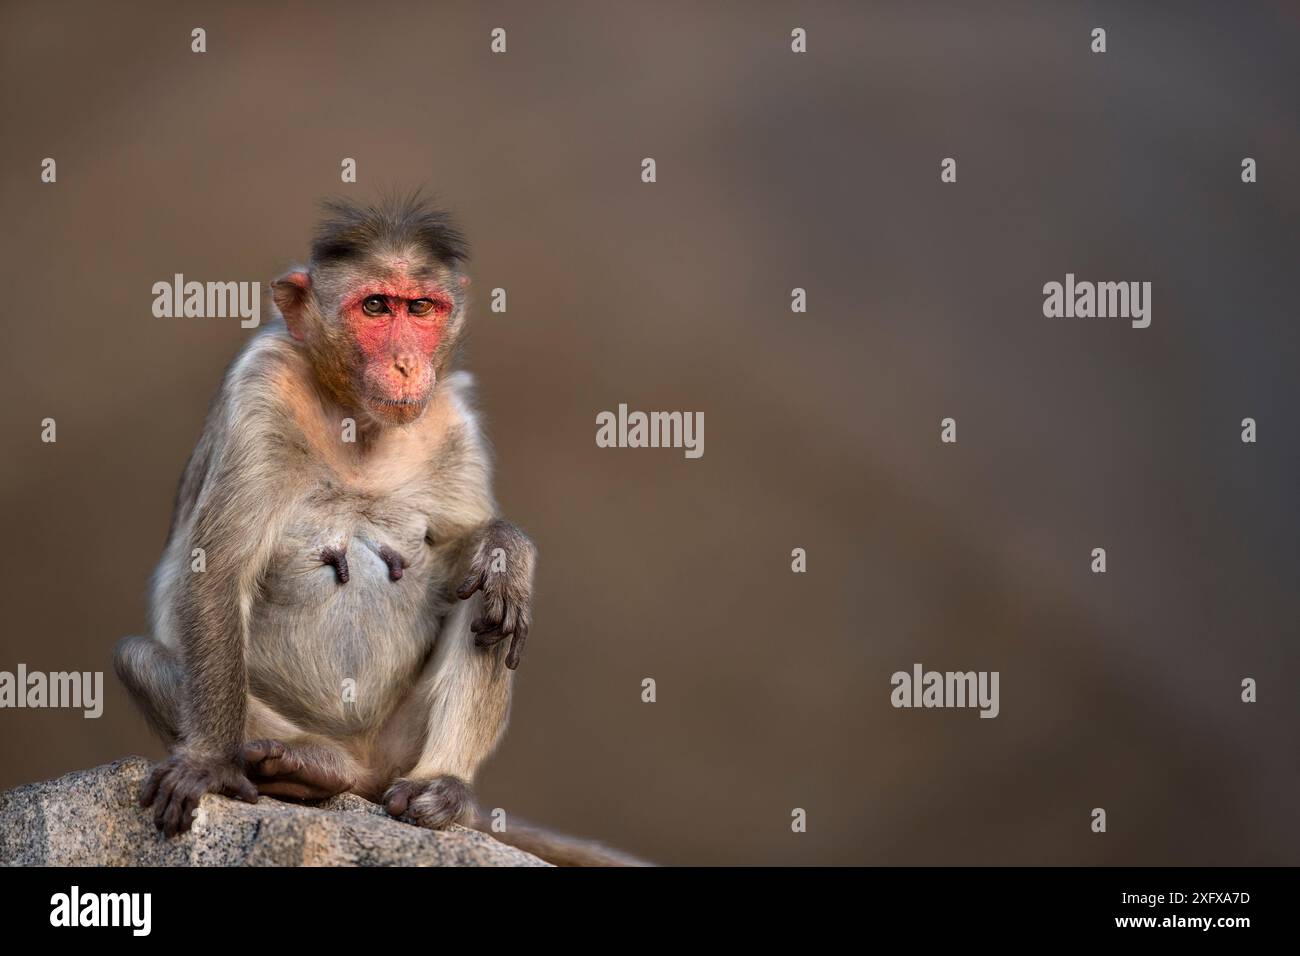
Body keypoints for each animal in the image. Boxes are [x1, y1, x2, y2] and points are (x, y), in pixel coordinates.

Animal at [113, 195, 639, 865]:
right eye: (375, 307)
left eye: (420, 309)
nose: (407, 364)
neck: (358, 423)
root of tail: (369, 772)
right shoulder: (262, 387)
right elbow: (216, 574)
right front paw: (206, 762)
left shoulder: (452, 418)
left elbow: (466, 558)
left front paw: (508, 549)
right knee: (139, 658)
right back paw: (313, 768)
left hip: (400, 747)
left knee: (487, 608)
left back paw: (442, 788)